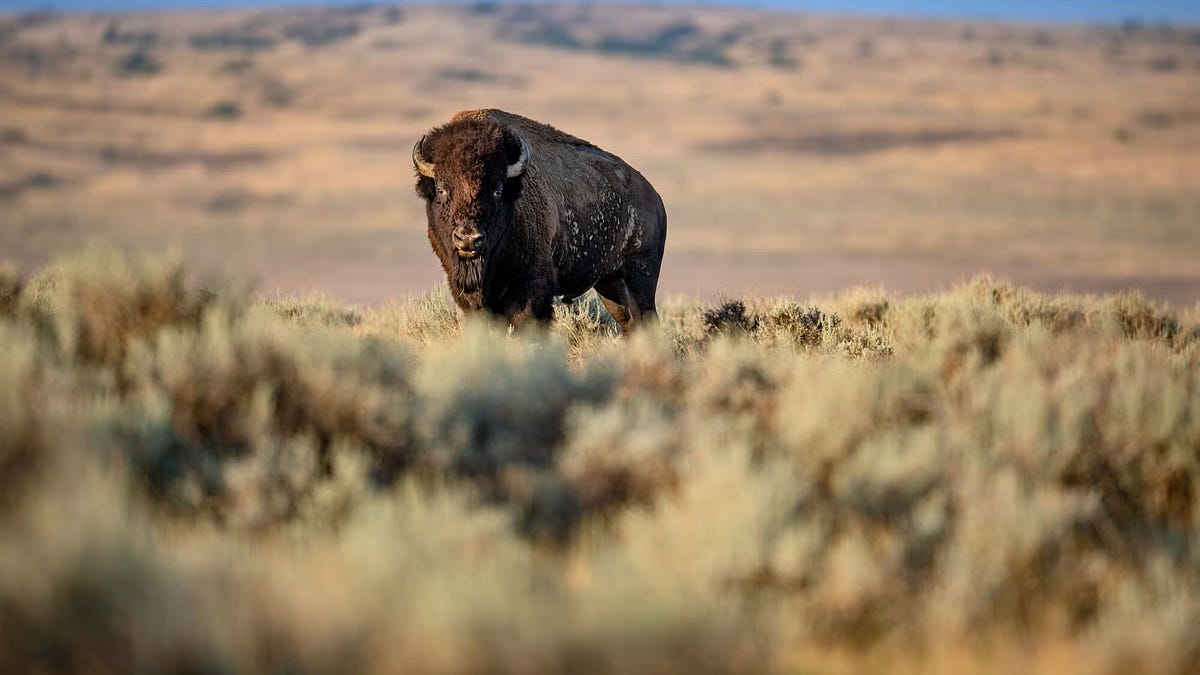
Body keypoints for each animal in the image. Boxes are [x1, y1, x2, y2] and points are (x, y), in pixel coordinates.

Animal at [412, 109, 667, 333]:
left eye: (497, 190)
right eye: (442, 190)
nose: (468, 239)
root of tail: (655, 198)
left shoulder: (531, 287)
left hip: (640, 275)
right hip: (611, 283)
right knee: (630, 324)